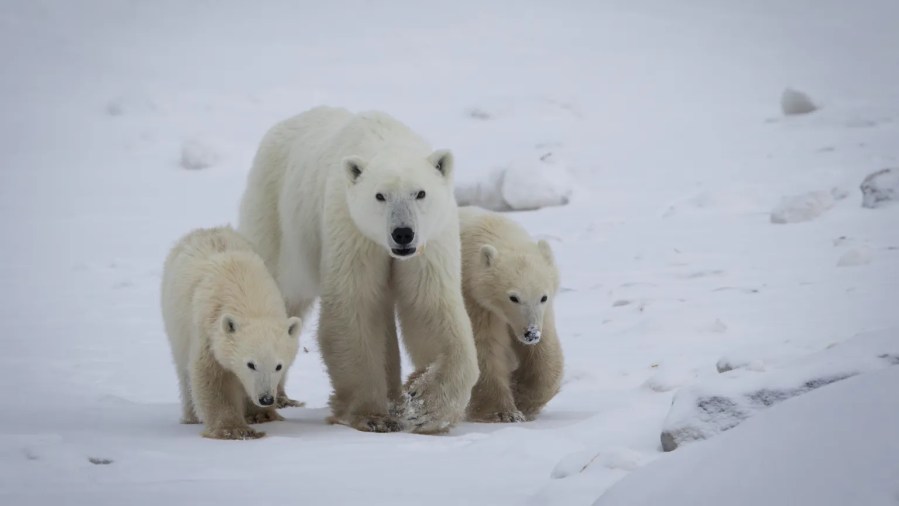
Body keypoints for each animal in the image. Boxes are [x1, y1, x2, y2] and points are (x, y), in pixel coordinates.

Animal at [160, 226, 302, 439]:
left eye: (279, 366)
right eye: (251, 364)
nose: (266, 398)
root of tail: (207, 230)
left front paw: (261, 415)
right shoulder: (209, 332)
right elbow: (213, 378)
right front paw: (234, 429)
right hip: (175, 323)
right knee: (183, 369)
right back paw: (191, 417)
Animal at [238, 106, 479, 434]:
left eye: (420, 193)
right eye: (380, 195)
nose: (403, 233)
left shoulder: (430, 241)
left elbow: (429, 306)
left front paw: (426, 406)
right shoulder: (352, 230)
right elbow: (355, 308)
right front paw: (372, 416)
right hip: (276, 218)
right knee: (280, 295)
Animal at [458, 206, 564, 423]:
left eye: (543, 297)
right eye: (513, 297)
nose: (531, 333)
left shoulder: (543, 314)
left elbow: (545, 353)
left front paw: (523, 397)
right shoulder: (476, 301)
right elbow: (485, 348)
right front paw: (504, 413)